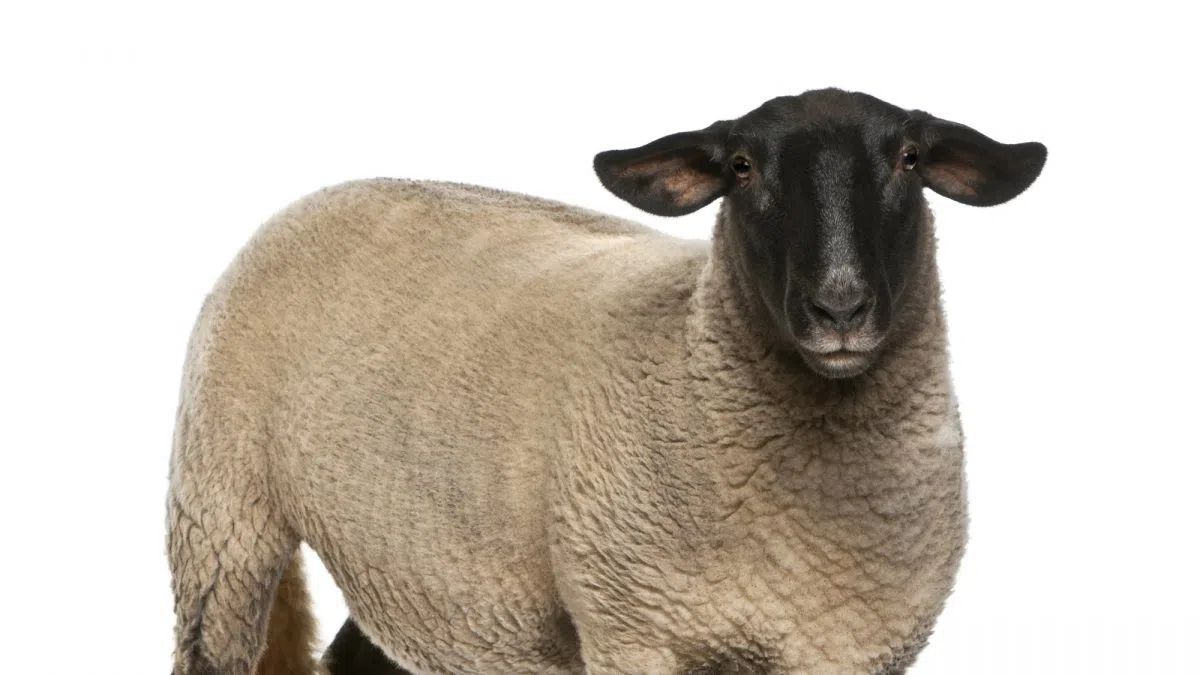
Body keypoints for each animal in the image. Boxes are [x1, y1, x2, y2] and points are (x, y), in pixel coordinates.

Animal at [166, 87, 1045, 675]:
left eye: (910, 159)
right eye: (741, 166)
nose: (840, 306)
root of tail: (319, 195)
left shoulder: (849, 651)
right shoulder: (635, 629)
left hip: (407, 560)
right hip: (223, 515)